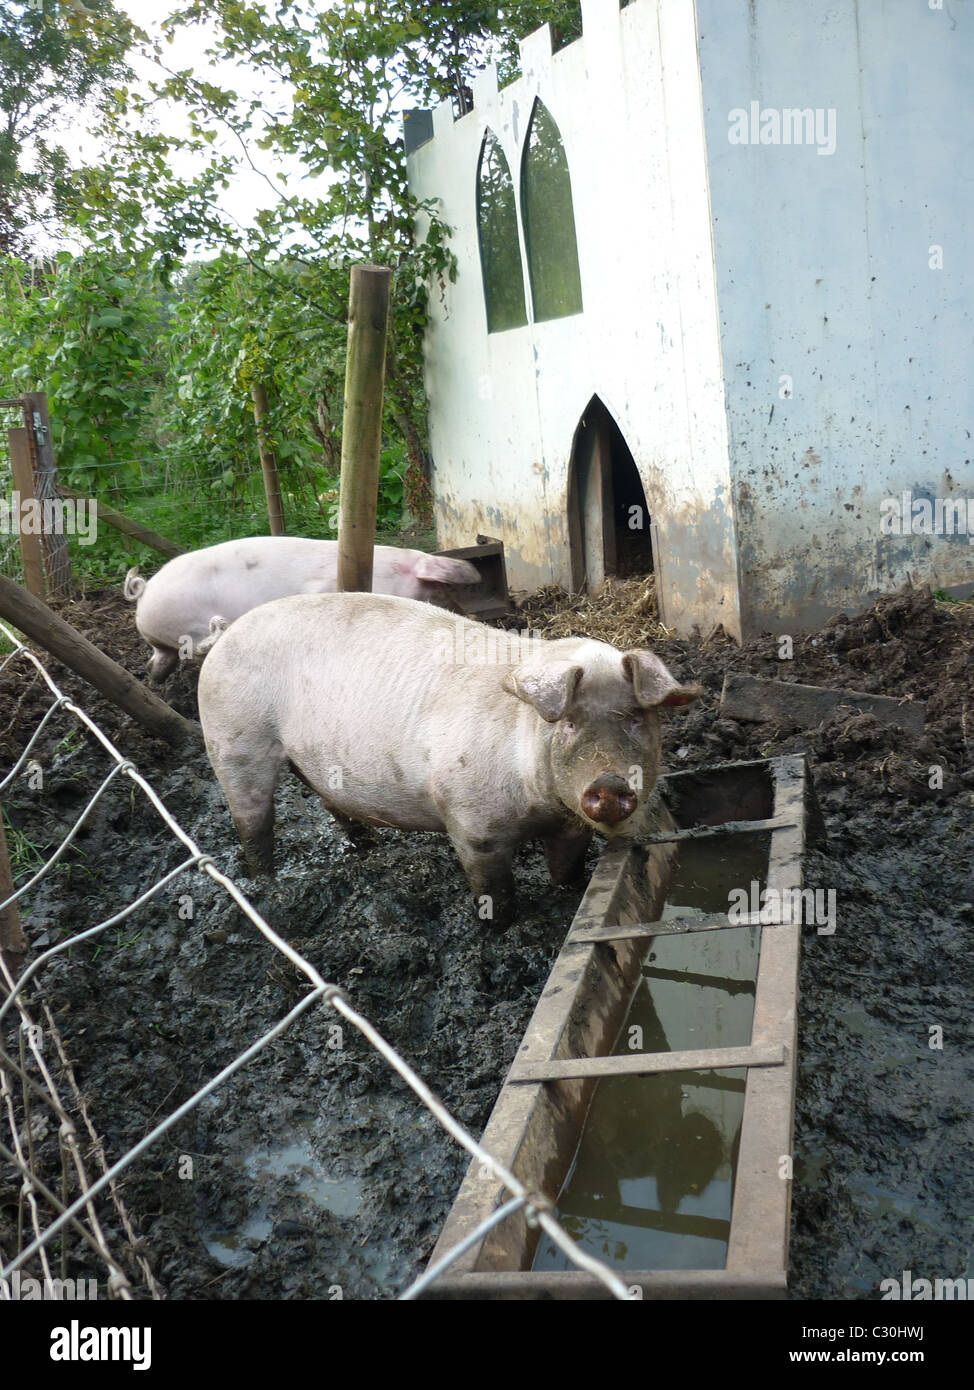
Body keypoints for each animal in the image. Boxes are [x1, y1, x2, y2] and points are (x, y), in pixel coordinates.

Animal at [124, 536, 481, 681]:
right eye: (438, 591)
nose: (466, 613)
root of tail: (145, 590)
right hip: (189, 625)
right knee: (199, 645)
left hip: (164, 643)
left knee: (163, 656)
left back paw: (153, 677)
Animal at [197, 591, 701, 929]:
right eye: (569, 722)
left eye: (635, 718)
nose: (610, 785)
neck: (537, 805)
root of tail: (225, 635)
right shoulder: (471, 823)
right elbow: (494, 890)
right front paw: (498, 930)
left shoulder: (568, 824)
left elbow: (568, 872)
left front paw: (570, 896)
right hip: (234, 740)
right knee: (252, 822)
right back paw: (264, 884)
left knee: (333, 805)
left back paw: (365, 848)